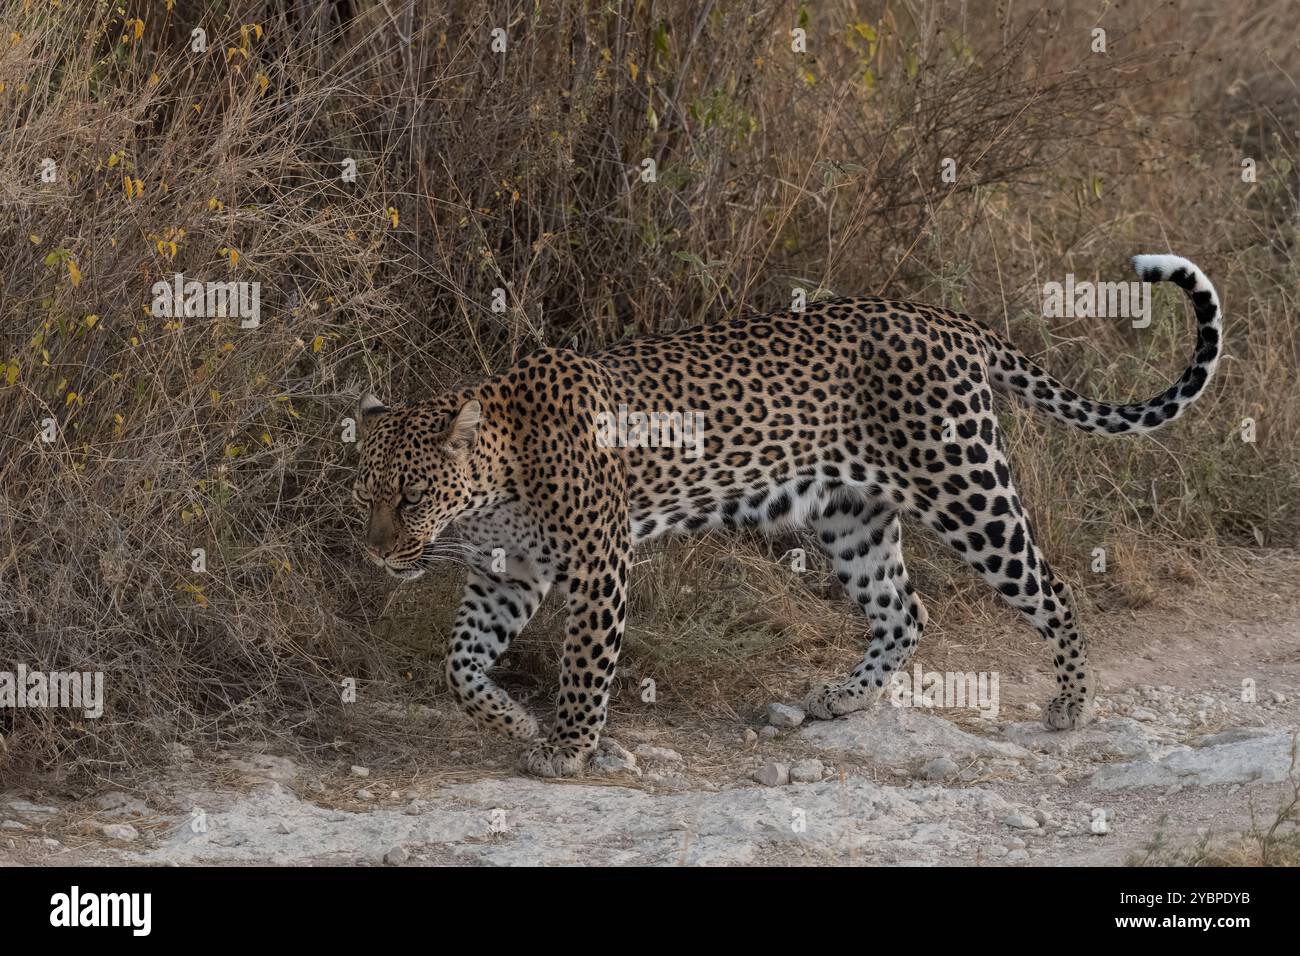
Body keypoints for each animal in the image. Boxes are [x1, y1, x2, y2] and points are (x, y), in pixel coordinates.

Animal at [353, 254, 1222, 777]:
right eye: (366, 496)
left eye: (410, 496)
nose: (377, 555)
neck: (491, 488)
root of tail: (949, 320)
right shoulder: (508, 574)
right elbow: (460, 665)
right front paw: (512, 723)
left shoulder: (598, 564)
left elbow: (584, 666)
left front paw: (567, 747)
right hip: (852, 514)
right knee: (905, 609)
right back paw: (845, 698)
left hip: (967, 489)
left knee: (1053, 587)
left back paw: (1070, 706)